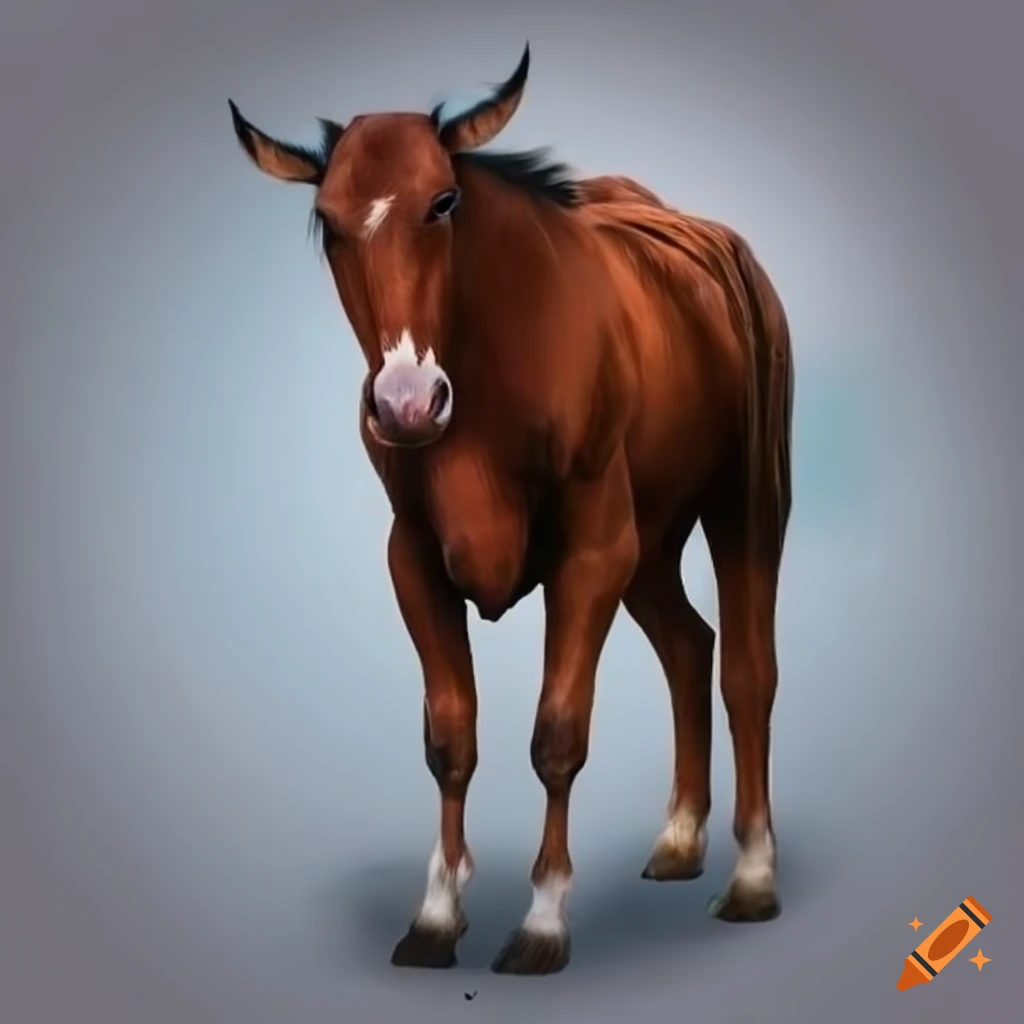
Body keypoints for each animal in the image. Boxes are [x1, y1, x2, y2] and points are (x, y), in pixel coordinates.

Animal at [228, 42, 794, 975]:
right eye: (328, 221)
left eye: (444, 200)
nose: (406, 402)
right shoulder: (414, 556)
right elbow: (449, 739)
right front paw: (435, 914)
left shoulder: (590, 550)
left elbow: (557, 734)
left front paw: (542, 919)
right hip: (649, 542)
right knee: (689, 644)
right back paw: (680, 838)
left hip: (743, 501)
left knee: (747, 668)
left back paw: (751, 876)